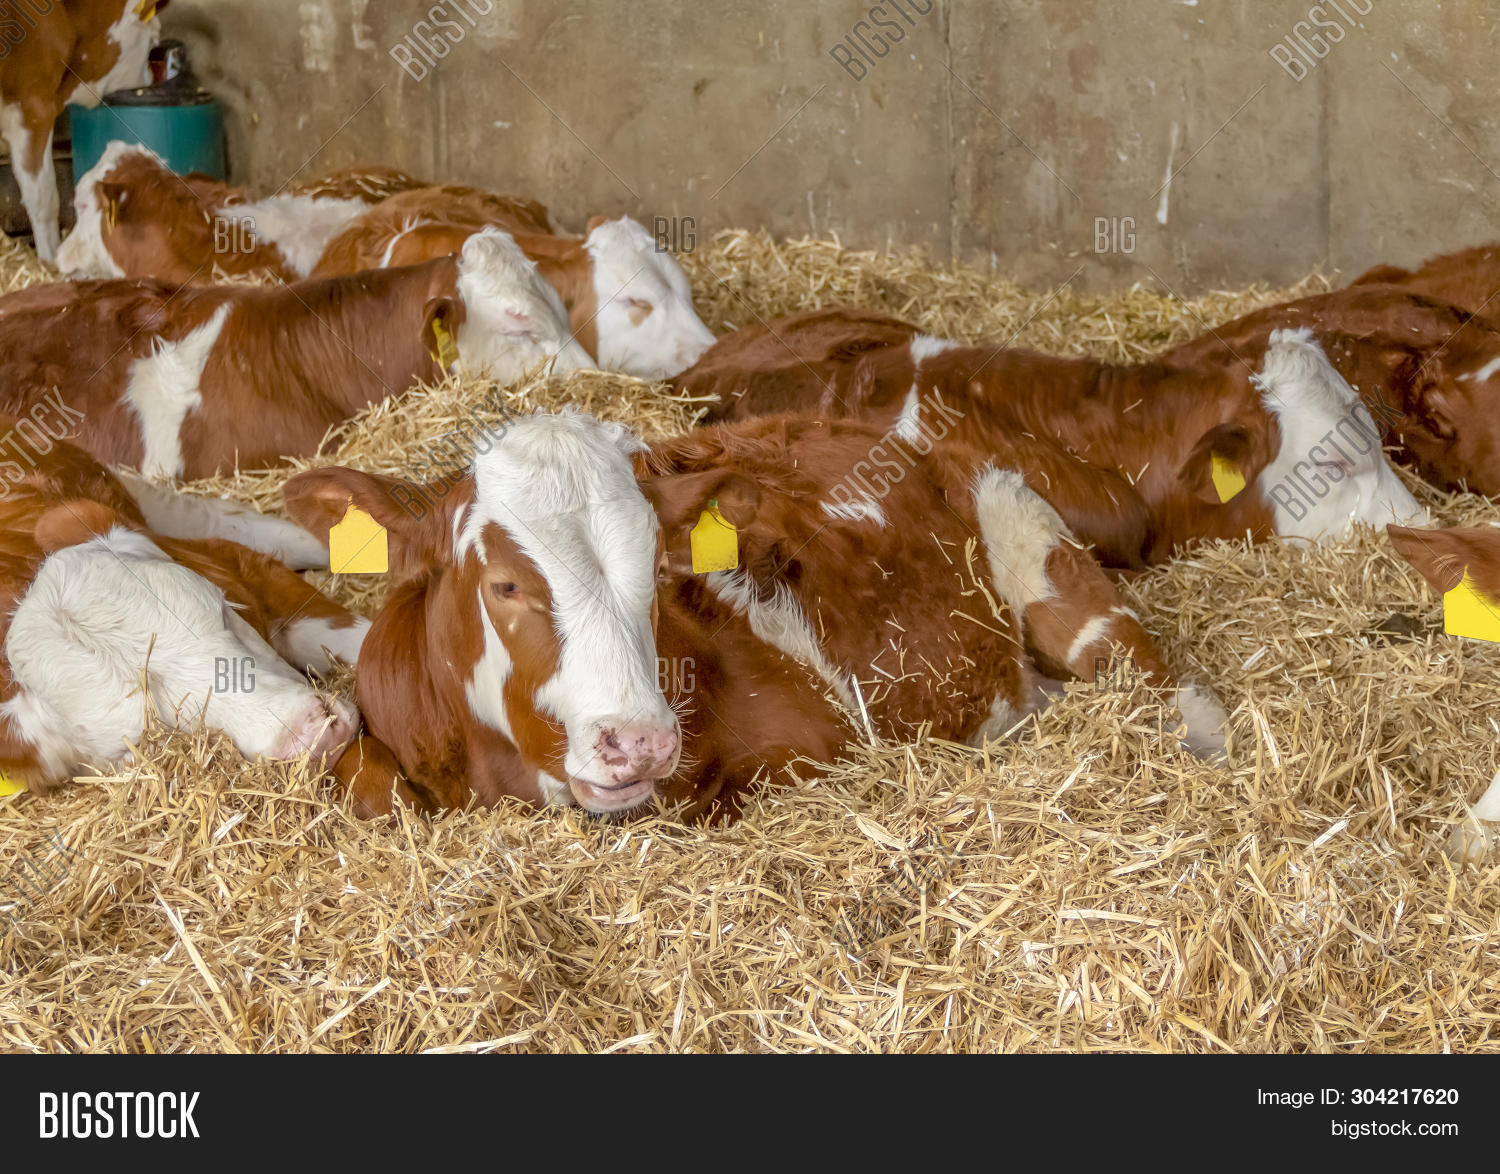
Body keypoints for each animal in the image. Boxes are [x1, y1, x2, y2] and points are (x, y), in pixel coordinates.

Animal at [282, 409, 1228, 822]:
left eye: (655, 573)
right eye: (507, 585)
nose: (639, 741)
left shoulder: (810, 747)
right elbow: (365, 782)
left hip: (1035, 542)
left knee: (1167, 692)